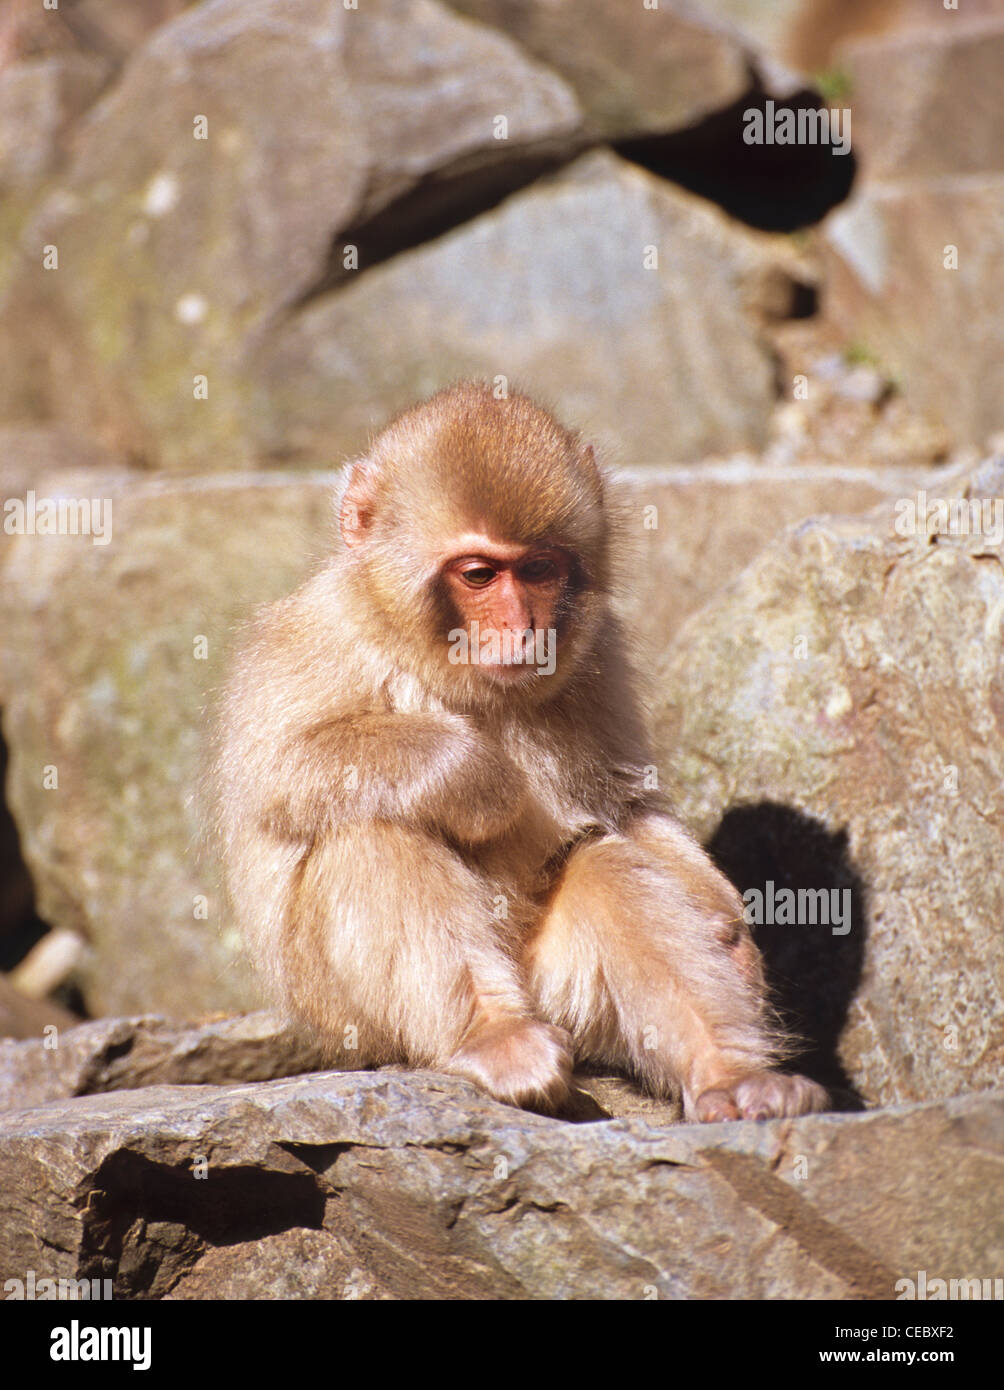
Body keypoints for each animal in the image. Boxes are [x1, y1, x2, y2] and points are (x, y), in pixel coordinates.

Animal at [212, 381, 828, 1123]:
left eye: (537, 569)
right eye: (479, 574)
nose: (522, 627)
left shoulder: (600, 649)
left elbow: (626, 800)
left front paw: (726, 930)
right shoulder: (318, 630)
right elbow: (272, 774)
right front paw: (477, 776)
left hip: (552, 983)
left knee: (603, 868)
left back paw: (731, 1077)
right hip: (349, 1020)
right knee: (374, 828)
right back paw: (493, 1036)